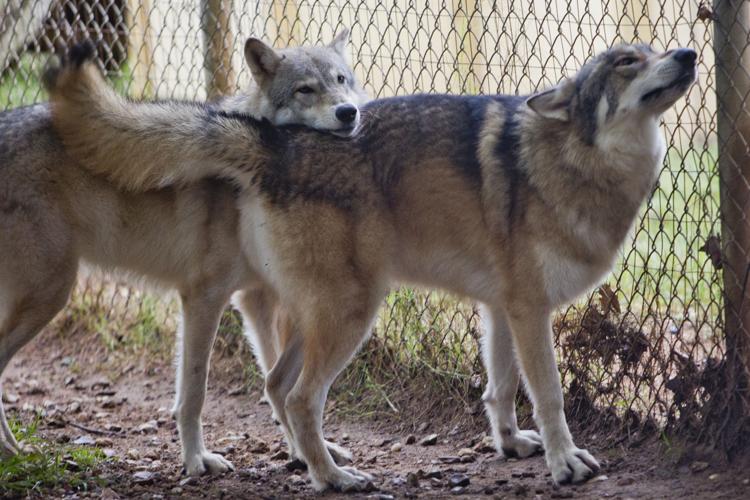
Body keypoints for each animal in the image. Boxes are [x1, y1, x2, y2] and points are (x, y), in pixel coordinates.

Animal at [0, 31, 367, 476]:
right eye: (305, 90)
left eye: (342, 79)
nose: (348, 112)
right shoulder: (204, 296)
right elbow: (194, 391)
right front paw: (196, 460)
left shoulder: (256, 298)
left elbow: (275, 381)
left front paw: (308, 453)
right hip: (51, 294)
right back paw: (10, 451)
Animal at [43, 43, 696, 491]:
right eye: (628, 61)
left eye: (652, 49)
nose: (689, 52)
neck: (573, 162)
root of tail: (277, 146)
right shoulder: (529, 310)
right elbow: (550, 395)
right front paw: (566, 463)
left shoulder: (502, 308)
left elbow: (501, 387)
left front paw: (511, 445)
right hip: (352, 315)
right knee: (300, 397)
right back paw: (332, 479)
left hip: (322, 316)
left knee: (276, 385)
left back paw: (316, 462)